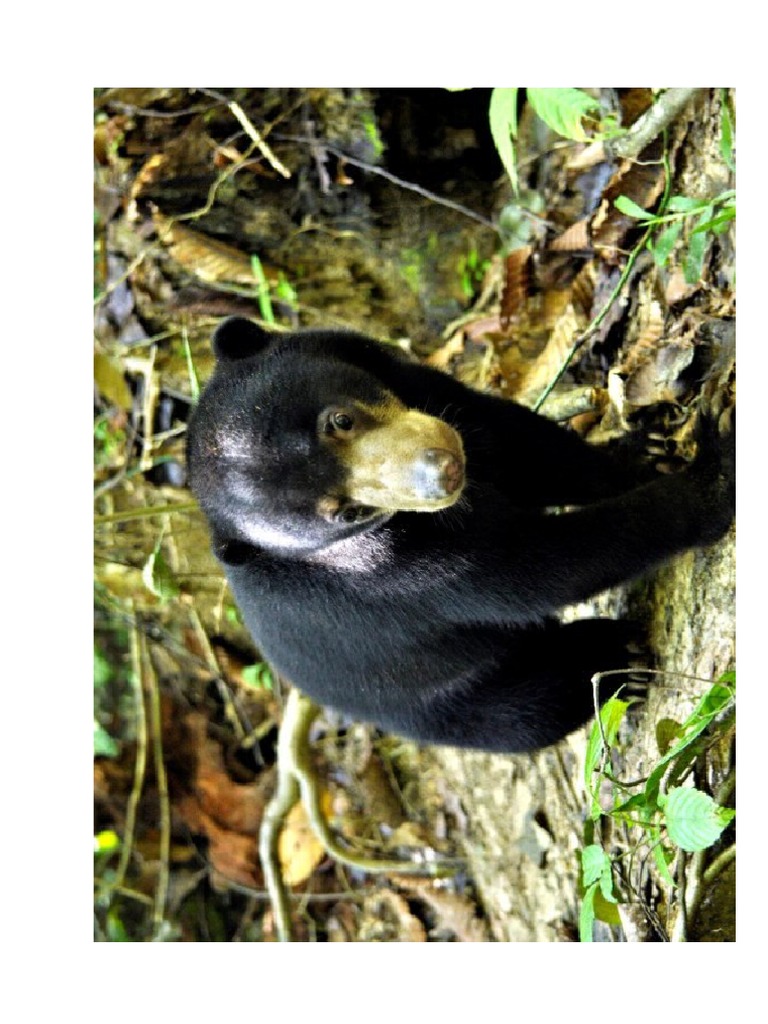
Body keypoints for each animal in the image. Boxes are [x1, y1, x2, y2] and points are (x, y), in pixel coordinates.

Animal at [186, 316, 735, 754]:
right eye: (349, 513)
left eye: (339, 421)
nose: (443, 471)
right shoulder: (391, 570)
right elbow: (530, 568)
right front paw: (712, 476)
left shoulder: (413, 381)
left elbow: (520, 443)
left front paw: (648, 453)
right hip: (438, 698)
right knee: (526, 712)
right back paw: (616, 655)